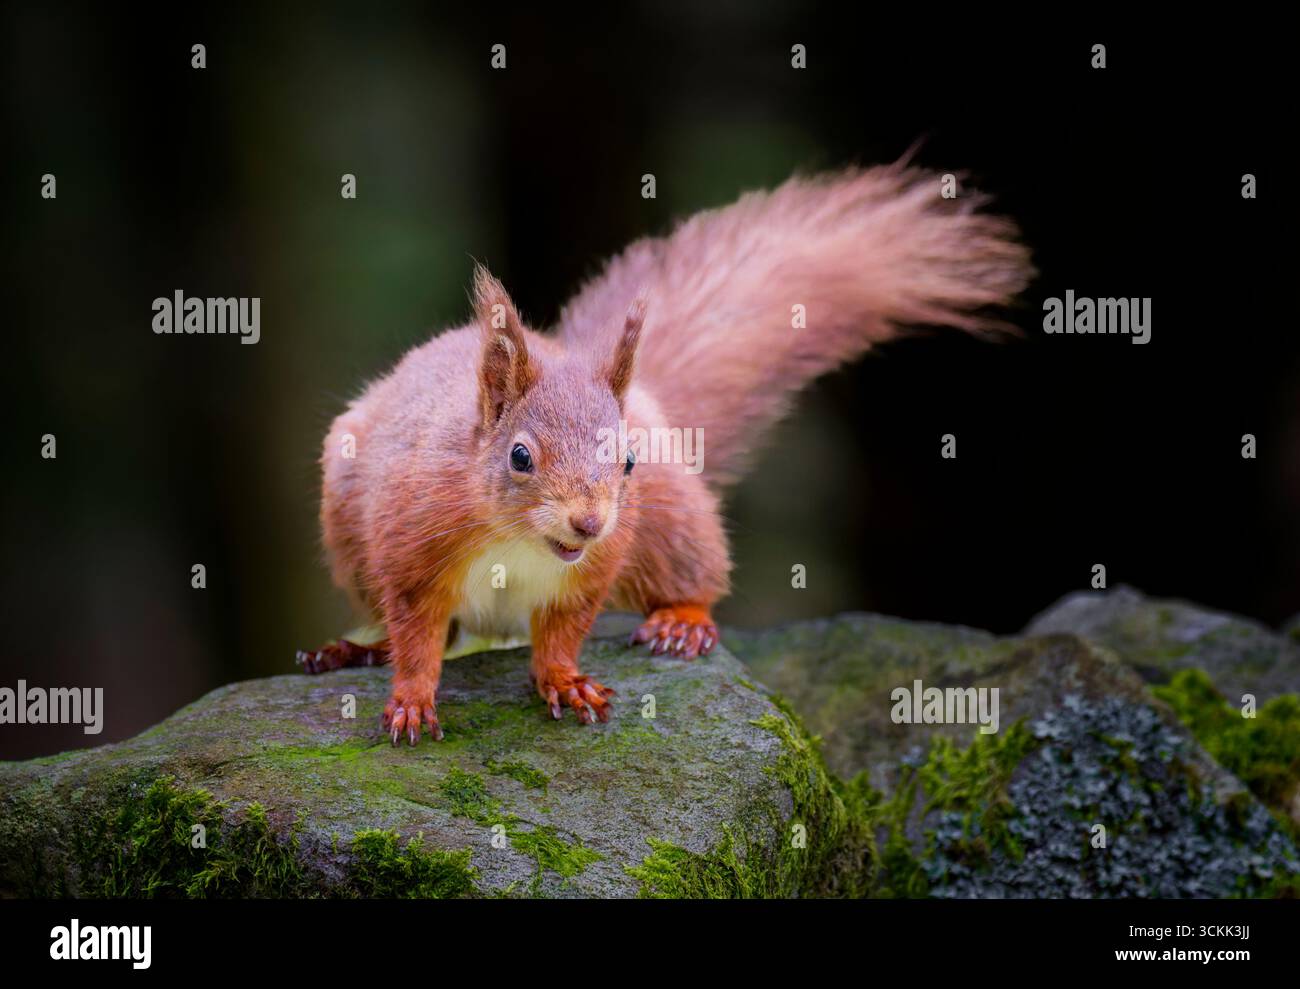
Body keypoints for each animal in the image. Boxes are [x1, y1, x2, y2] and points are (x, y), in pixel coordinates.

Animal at [298, 163, 1032, 744]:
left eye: (628, 462)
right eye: (519, 458)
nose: (590, 523)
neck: (519, 541)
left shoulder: (594, 568)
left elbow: (563, 629)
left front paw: (564, 679)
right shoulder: (411, 544)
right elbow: (419, 633)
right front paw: (411, 698)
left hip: (672, 517)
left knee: (693, 570)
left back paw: (682, 621)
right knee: (431, 632)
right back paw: (354, 649)